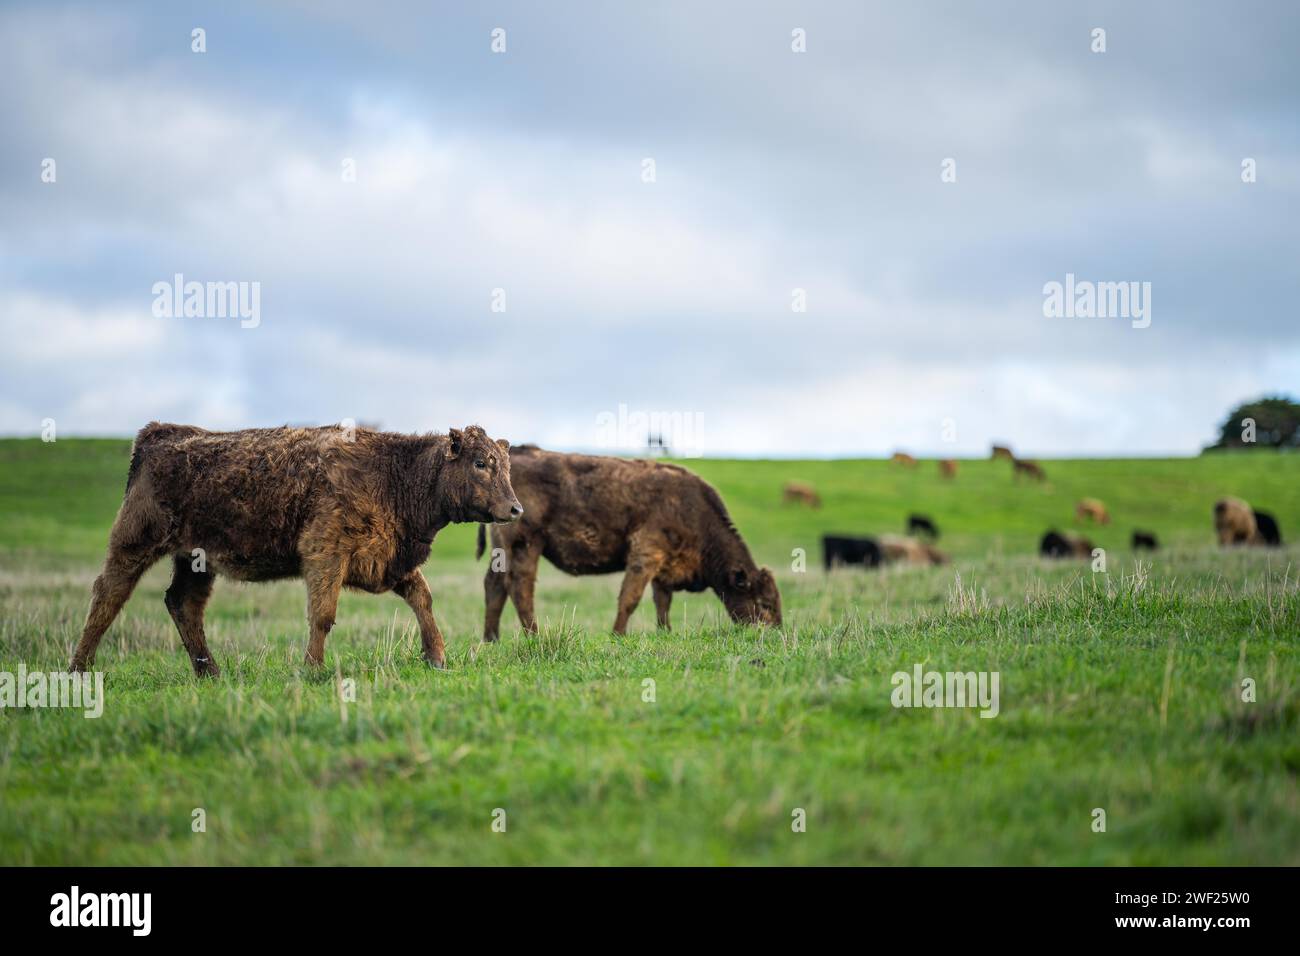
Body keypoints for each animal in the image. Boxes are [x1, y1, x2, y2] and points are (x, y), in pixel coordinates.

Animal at [69, 422, 521, 675]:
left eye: (506, 465)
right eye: (481, 463)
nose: (515, 508)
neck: (395, 473)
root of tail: (160, 434)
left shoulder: (393, 560)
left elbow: (423, 601)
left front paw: (437, 658)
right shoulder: (326, 555)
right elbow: (323, 615)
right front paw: (313, 668)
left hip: (195, 561)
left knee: (184, 605)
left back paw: (210, 672)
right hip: (135, 542)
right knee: (108, 596)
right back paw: (79, 668)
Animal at [479, 446, 781, 638]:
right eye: (765, 603)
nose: (777, 633)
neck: (692, 509)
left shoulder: (664, 565)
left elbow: (662, 601)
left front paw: (665, 631)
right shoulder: (645, 554)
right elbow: (630, 598)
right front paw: (618, 634)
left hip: (502, 551)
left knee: (495, 587)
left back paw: (492, 639)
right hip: (525, 545)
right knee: (520, 588)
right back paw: (534, 635)